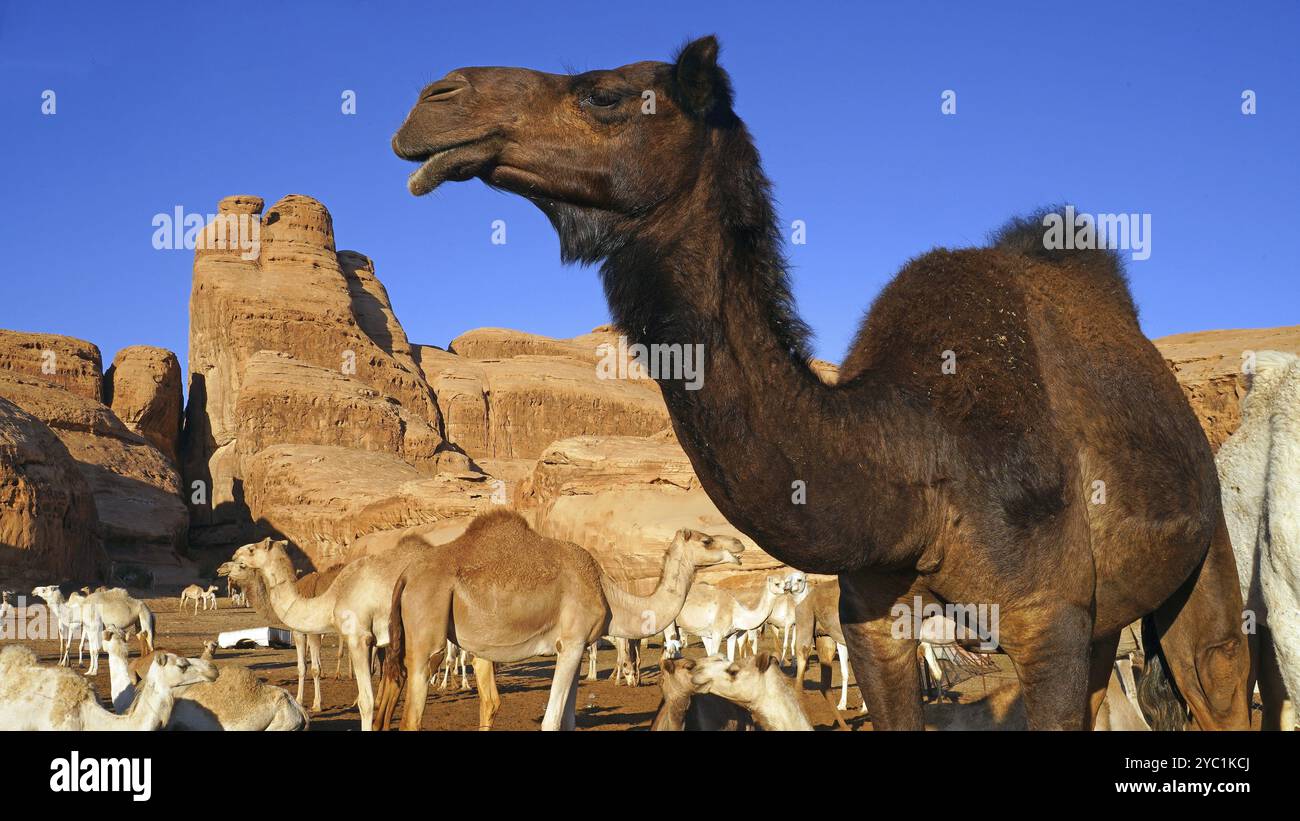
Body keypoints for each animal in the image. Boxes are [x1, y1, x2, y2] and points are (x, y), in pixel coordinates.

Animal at [221, 535, 500, 731]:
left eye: (251, 549)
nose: (228, 559)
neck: (332, 598)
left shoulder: (358, 636)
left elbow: (367, 702)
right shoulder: (380, 642)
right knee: (490, 697)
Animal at [374, 510, 745, 731]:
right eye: (706, 540)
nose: (738, 543)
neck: (610, 596)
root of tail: (407, 575)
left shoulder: (577, 648)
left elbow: (567, 721)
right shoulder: (572, 642)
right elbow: (551, 721)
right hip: (429, 630)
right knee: (412, 713)